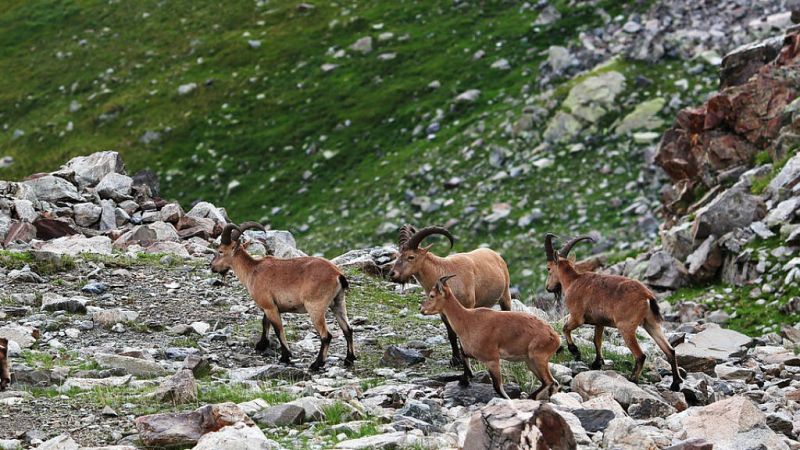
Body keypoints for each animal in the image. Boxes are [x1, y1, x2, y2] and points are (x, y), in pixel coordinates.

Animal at [211, 222, 355, 371]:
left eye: (220, 251)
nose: (212, 266)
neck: (252, 270)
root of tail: (338, 275)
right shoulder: (268, 306)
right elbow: (265, 323)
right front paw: (261, 345)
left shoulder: (270, 307)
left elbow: (278, 329)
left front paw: (285, 356)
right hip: (338, 302)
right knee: (348, 329)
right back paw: (349, 359)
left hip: (315, 307)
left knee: (326, 335)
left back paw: (316, 364)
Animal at [389, 224, 512, 372]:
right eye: (397, 256)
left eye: (411, 256)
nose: (392, 274)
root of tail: (495, 254)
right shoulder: (443, 312)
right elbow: (451, 334)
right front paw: (455, 360)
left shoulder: (468, 306)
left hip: (505, 295)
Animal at [421, 275, 561, 400]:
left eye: (432, 295)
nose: (422, 309)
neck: (467, 321)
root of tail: (555, 337)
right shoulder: (470, 353)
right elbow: (466, 363)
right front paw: (464, 381)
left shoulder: (492, 359)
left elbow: (497, 387)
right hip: (530, 361)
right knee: (551, 382)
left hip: (538, 358)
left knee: (549, 381)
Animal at [545, 234, 683, 391]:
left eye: (548, 268)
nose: (548, 287)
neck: (573, 281)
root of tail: (648, 296)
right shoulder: (599, 322)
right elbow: (597, 341)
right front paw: (597, 363)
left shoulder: (577, 316)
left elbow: (565, 328)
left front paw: (575, 351)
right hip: (651, 323)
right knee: (670, 350)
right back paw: (675, 384)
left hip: (626, 326)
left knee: (641, 355)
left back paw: (633, 378)